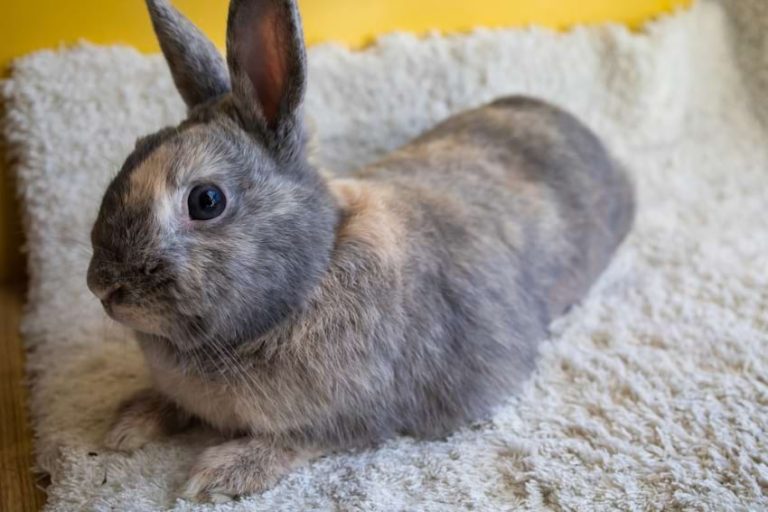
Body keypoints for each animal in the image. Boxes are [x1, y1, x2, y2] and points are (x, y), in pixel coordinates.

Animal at [86, 0, 635, 502]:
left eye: (206, 201)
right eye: (135, 149)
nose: (101, 287)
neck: (311, 277)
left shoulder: (356, 414)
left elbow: (302, 440)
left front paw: (221, 473)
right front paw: (128, 424)